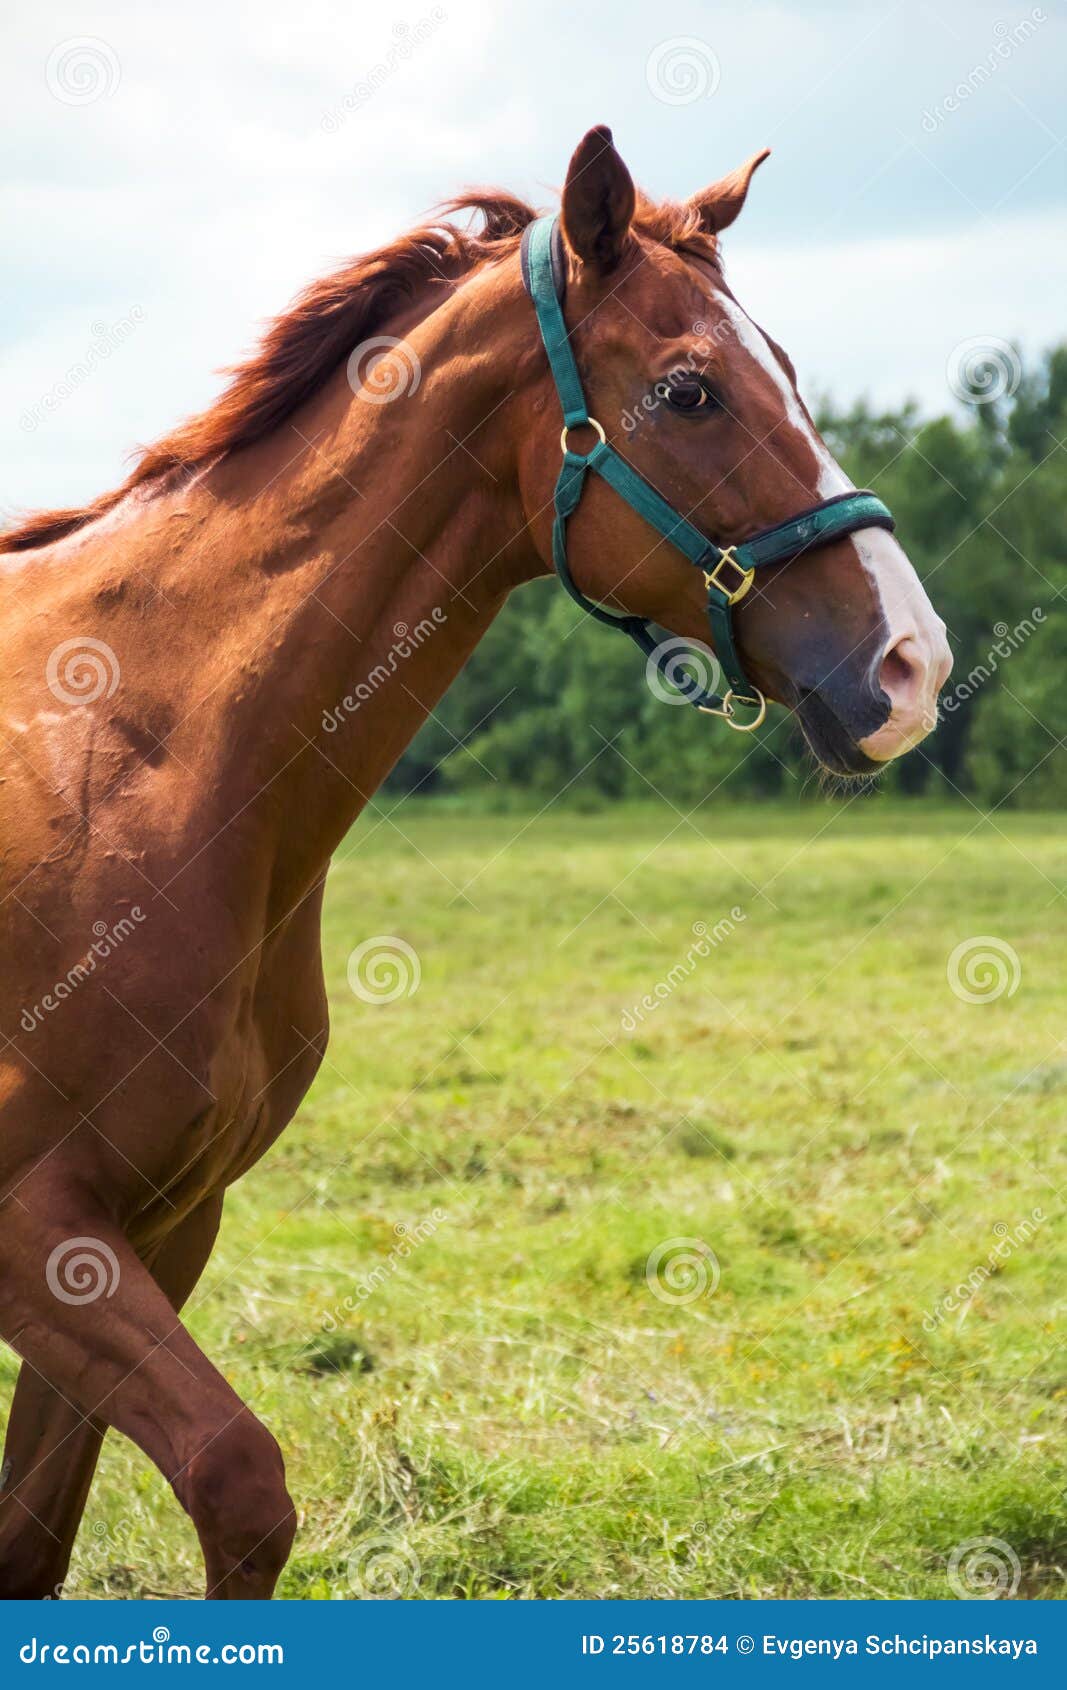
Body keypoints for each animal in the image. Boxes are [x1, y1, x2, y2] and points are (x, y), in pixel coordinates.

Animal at [0, 126, 951, 1600]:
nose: (909, 665)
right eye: (687, 389)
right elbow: (239, 1482)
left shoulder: (155, 1225)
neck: (129, 756)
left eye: (789, 371)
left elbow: (44, 1541)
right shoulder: (39, 1229)